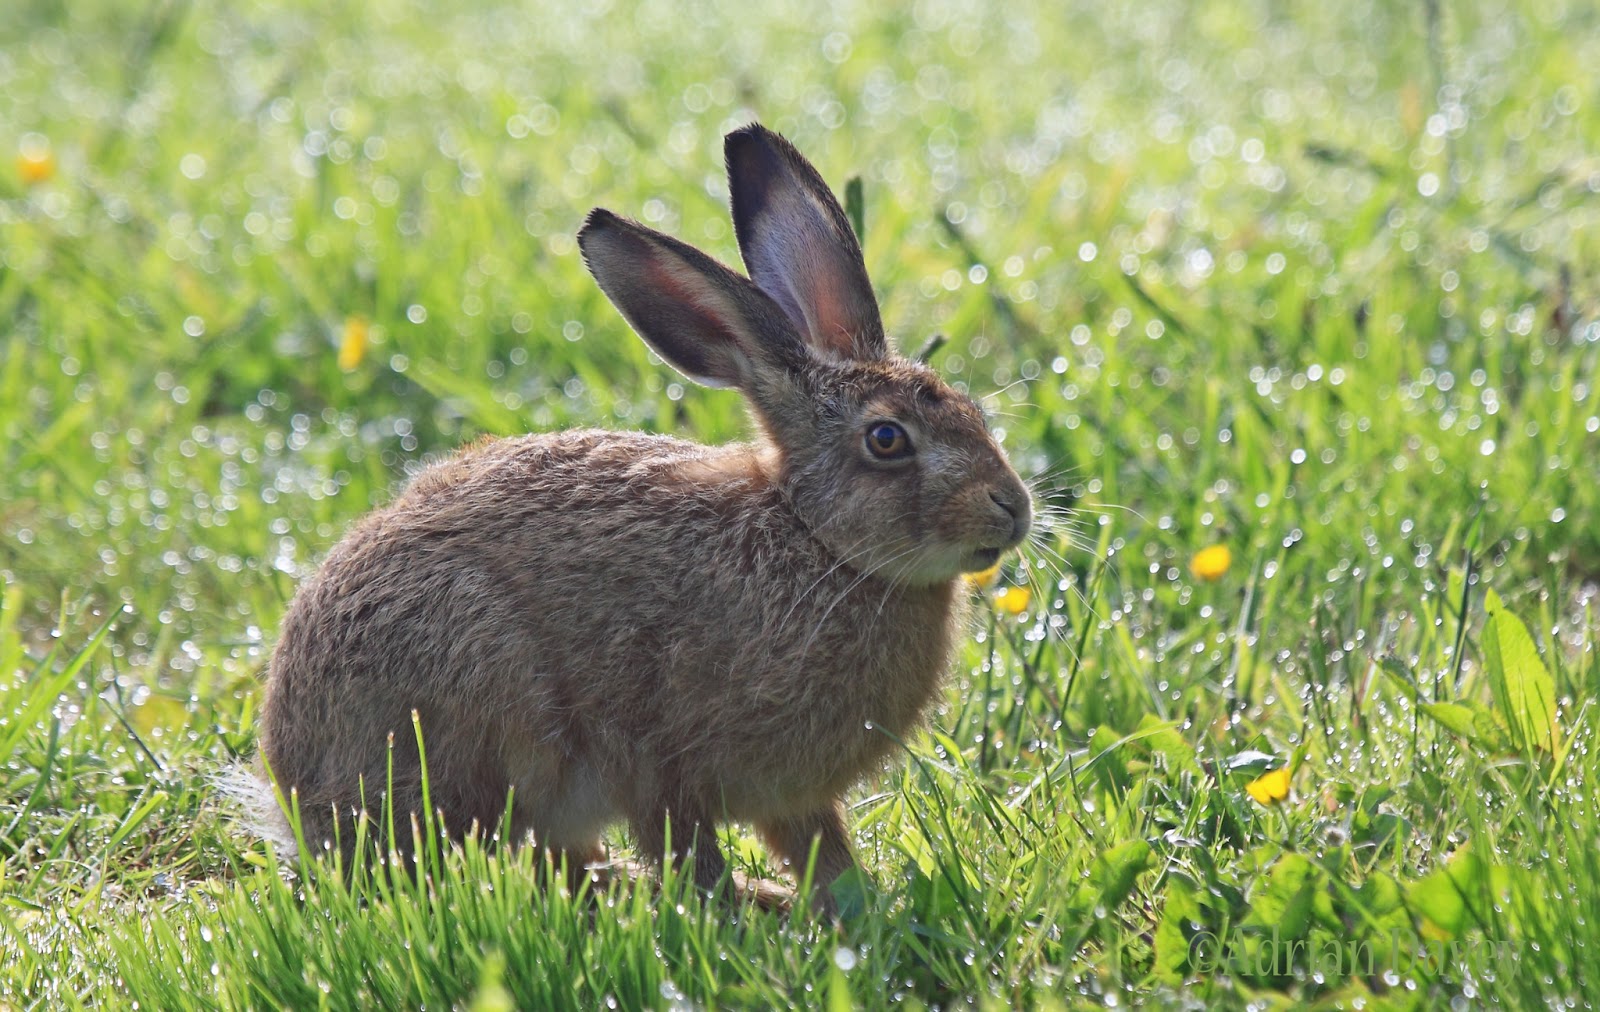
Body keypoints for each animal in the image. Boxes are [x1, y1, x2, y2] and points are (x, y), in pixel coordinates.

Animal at [254, 123, 1032, 913]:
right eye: (887, 439)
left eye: (970, 411)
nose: (1013, 508)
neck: (817, 541)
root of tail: (297, 799)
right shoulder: (655, 753)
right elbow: (685, 845)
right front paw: (729, 911)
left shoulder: (792, 797)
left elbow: (820, 848)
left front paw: (853, 908)